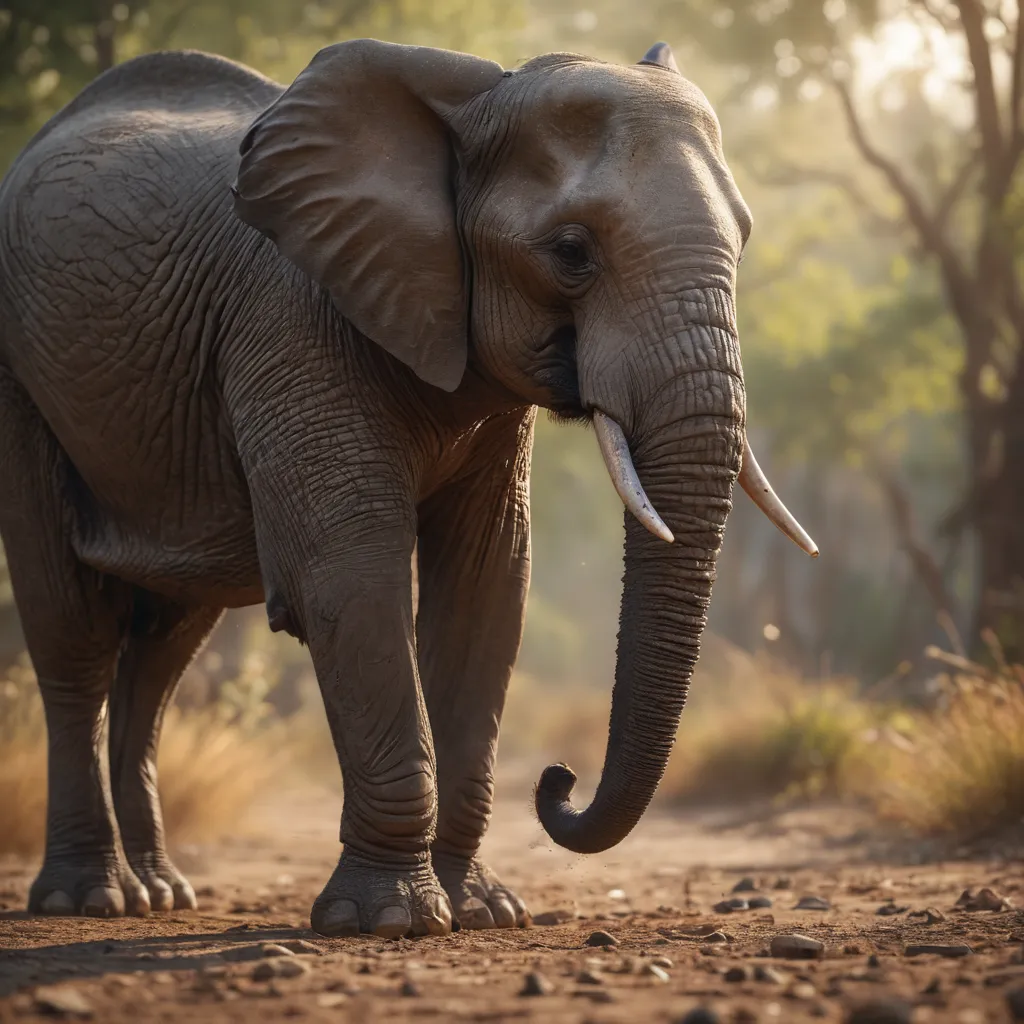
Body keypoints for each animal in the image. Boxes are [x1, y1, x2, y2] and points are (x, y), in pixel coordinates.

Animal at [0, 36, 816, 938]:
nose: (559, 781)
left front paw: (482, 911)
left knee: (164, 649)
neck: (476, 96)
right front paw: (388, 919)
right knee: (70, 632)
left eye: (744, 239)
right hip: (22, 379)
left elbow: (488, 585)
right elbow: (352, 574)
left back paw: (159, 893)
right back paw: (89, 898)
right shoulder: (294, 322)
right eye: (571, 251)